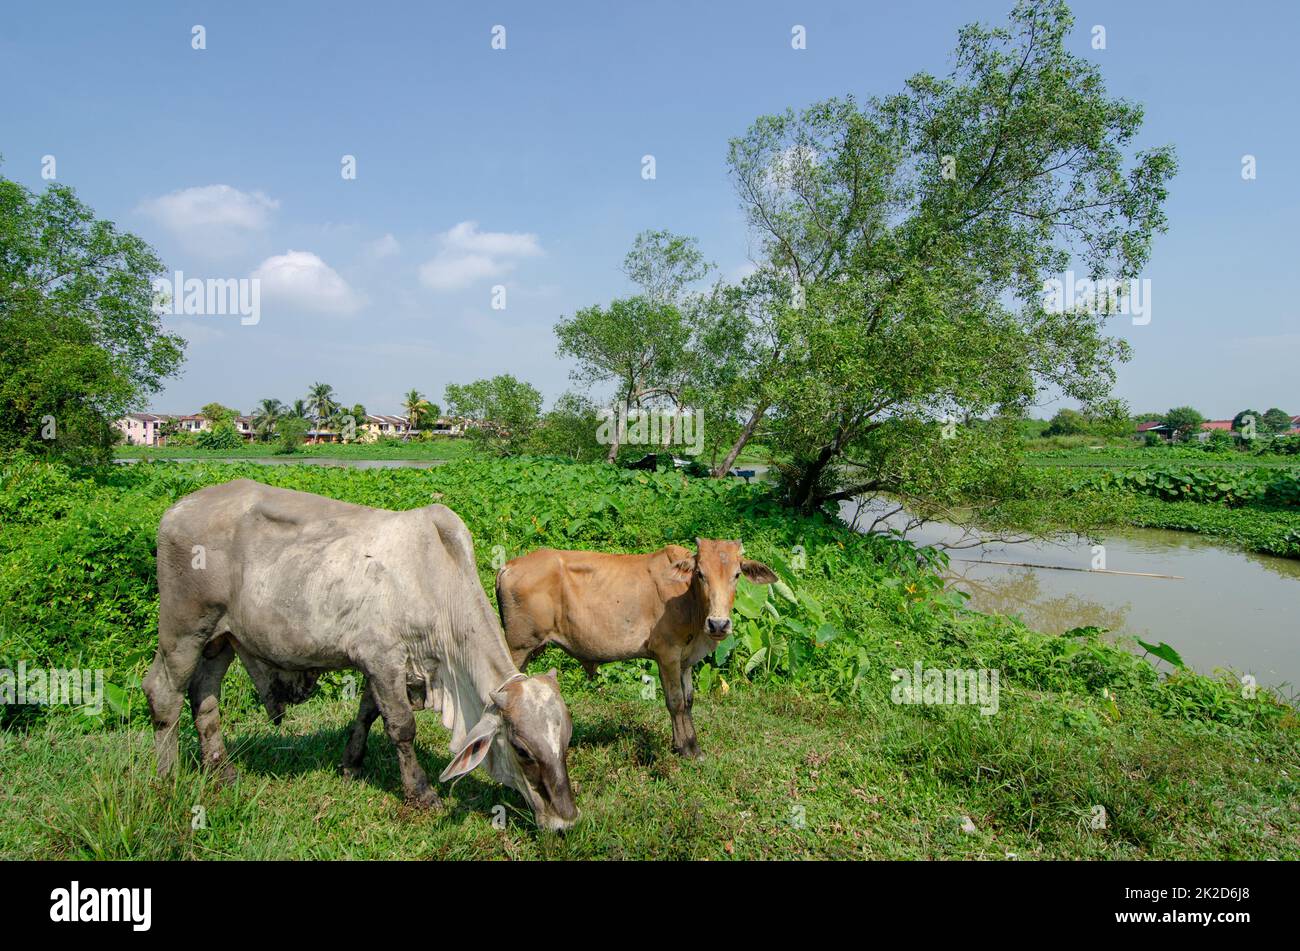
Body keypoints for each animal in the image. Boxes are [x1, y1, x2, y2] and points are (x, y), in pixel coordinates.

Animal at [143, 479, 578, 832]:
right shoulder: (382, 658)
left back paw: (221, 769)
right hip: (183, 630)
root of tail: (177, 508)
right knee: (163, 693)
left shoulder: (383, 665)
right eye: (523, 751)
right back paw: (167, 779)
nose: (566, 821)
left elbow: (368, 713)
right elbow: (401, 727)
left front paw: (350, 764)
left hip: (220, 639)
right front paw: (421, 793)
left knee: (204, 697)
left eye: (566, 740)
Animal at [495, 538, 777, 758]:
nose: (718, 624)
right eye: (700, 573)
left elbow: (688, 700)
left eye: (737, 574)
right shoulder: (667, 653)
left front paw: (692, 746)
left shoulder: (685, 659)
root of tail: (508, 566)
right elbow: (675, 701)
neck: (688, 599)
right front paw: (685, 748)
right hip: (518, 647)